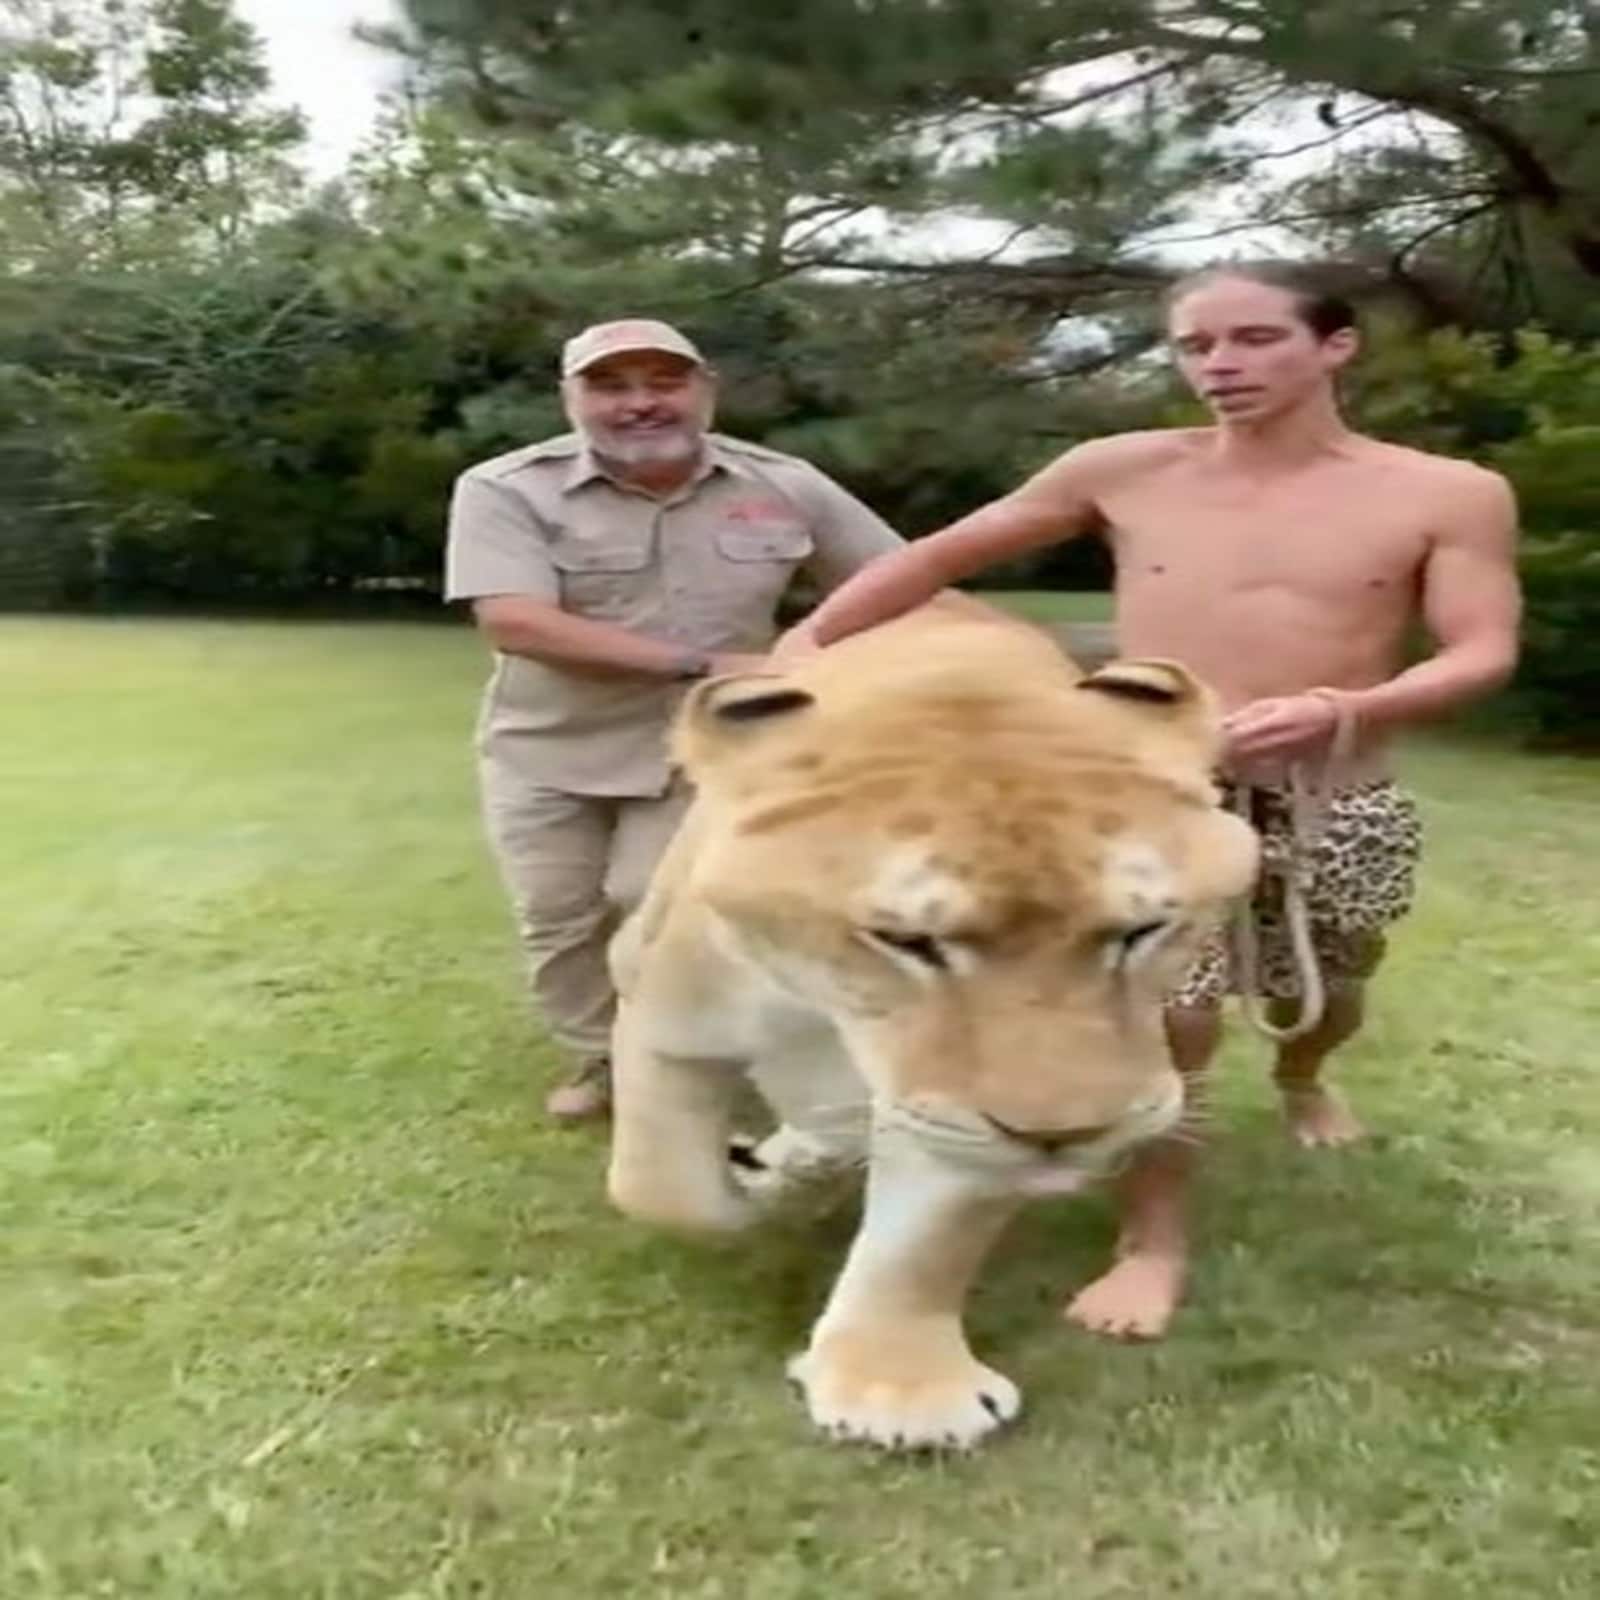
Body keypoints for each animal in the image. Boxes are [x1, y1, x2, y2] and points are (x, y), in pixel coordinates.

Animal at [605, 605, 1258, 1449]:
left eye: (1141, 930)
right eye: (908, 941)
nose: (1069, 1137)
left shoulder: (960, 1126)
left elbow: (925, 1247)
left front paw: (901, 1395)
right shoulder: (664, 1011)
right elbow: (664, 1188)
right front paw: (752, 1198)